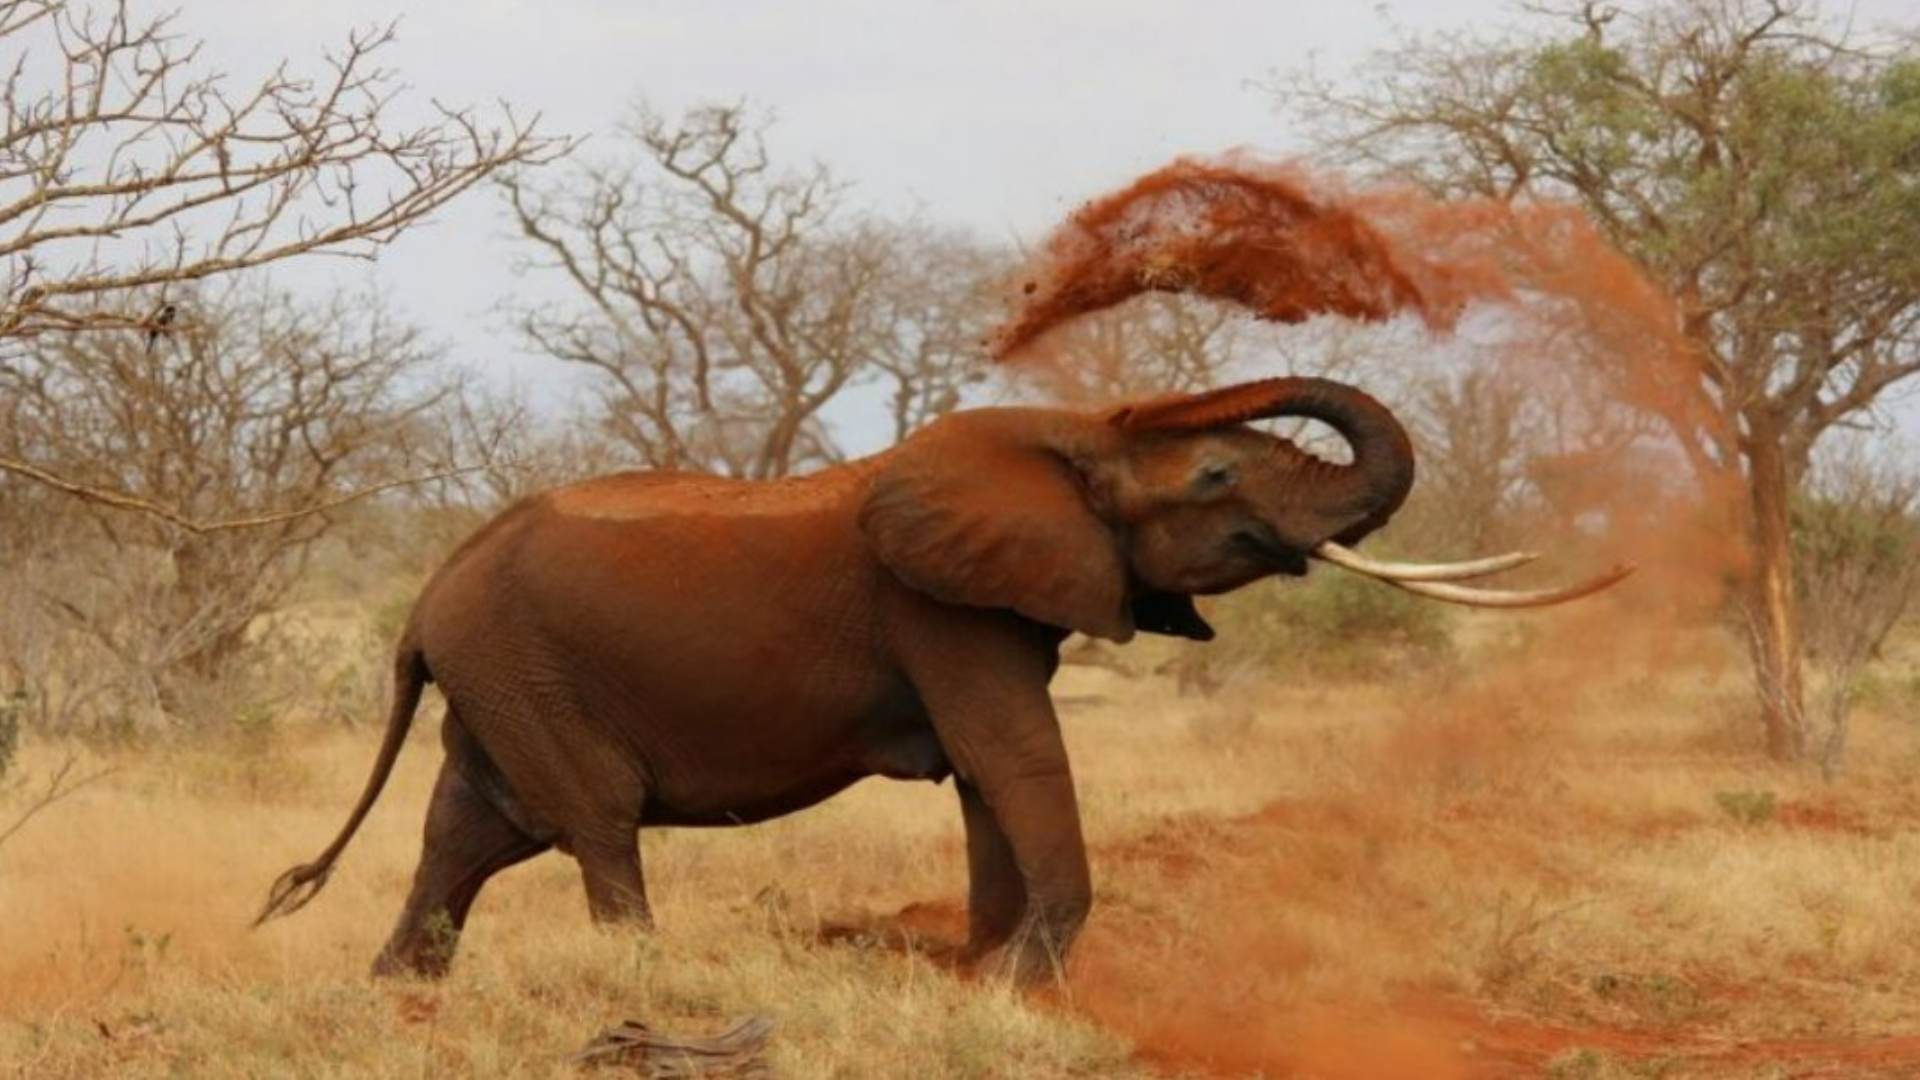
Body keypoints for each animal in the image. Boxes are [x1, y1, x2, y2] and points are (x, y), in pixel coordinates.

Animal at [256, 376, 1626, 984]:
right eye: (1218, 480)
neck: (1063, 439)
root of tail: (426, 596)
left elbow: (985, 774)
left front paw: (981, 973)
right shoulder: (940, 609)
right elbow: (1015, 756)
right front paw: (1023, 986)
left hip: (498, 677)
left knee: (469, 832)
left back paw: (400, 998)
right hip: (523, 668)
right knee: (589, 823)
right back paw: (644, 984)